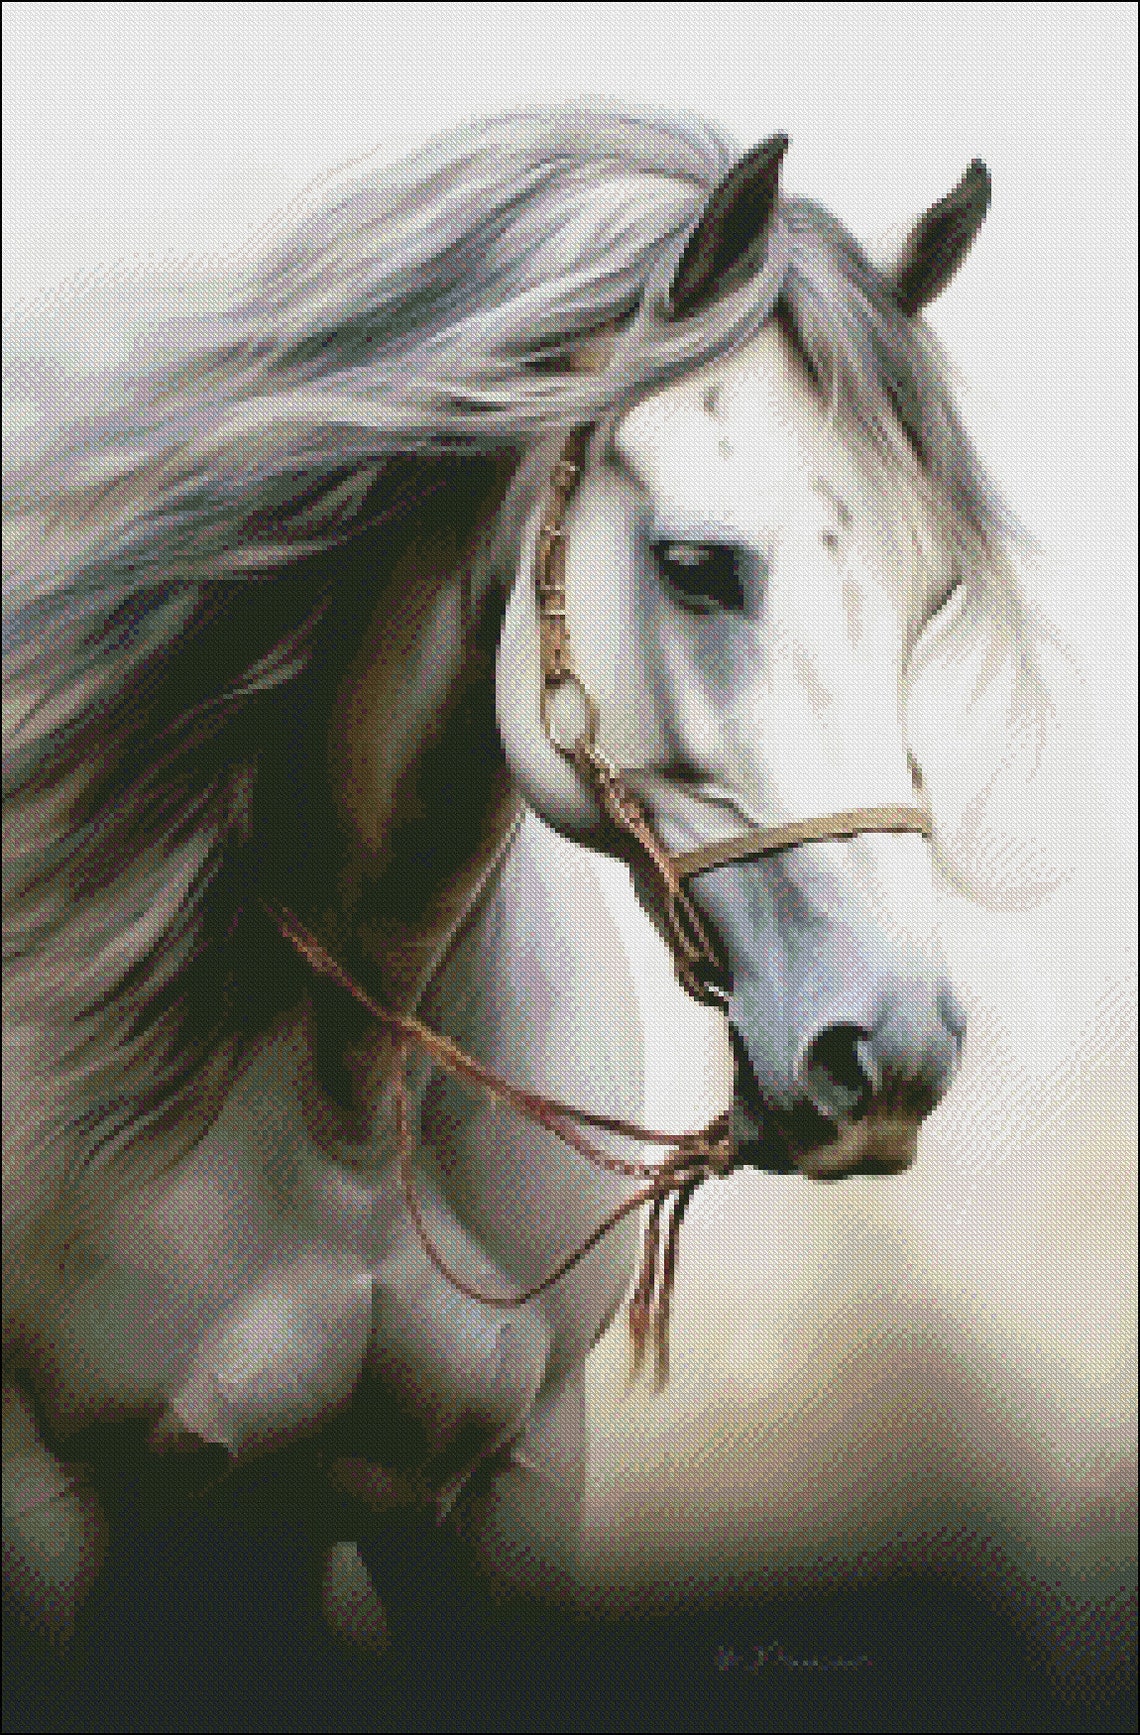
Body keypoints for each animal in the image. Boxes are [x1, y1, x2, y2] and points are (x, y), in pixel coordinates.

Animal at [3, 105, 1038, 1708]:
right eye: (696, 567)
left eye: (927, 598)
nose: (895, 1052)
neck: (342, 1098)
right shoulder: (43, 1511)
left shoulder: (512, 1487)